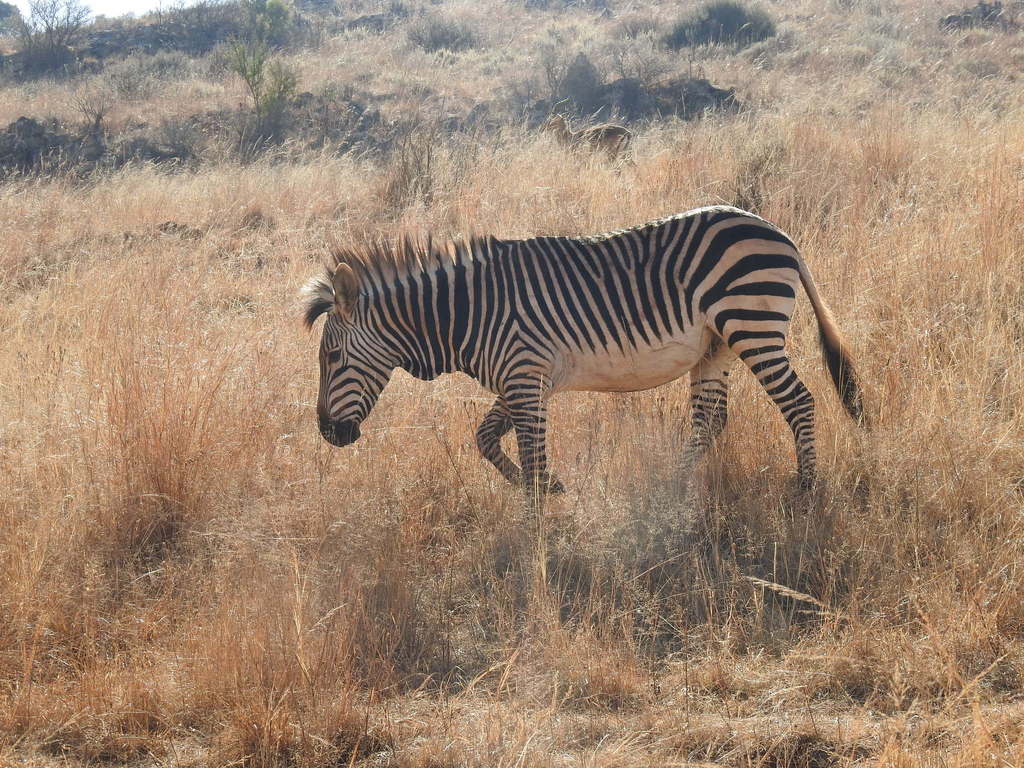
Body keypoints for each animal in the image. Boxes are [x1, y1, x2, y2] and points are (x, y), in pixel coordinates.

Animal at [302, 206, 863, 500]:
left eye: (332, 360)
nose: (327, 434)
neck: (467, 312)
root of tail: (775, 230)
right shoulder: (523, 379)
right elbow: (485, 439)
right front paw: (551, 491)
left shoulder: (524, 375)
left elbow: (528, 456)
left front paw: (536, 536)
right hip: (716, 347)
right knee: (710, 420)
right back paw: (672, 490)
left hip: (752, 325)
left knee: (799, 402)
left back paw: (805, 490)